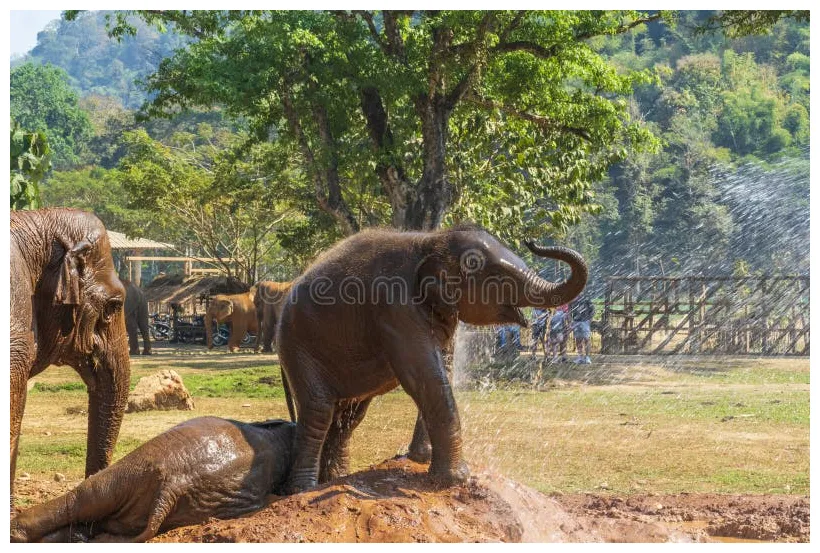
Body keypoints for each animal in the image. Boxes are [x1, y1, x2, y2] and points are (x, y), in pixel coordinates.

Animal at [276, 224, 587, 493]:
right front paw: (455, 478)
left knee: (349, 416)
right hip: (297, 347)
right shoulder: (395, 307)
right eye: (475, 263)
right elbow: (424, 374)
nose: (532, 242)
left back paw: (334, 479)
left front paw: (421, 460)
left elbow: (442, 369)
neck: (430, 240)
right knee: (319, 411)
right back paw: (303, 490)